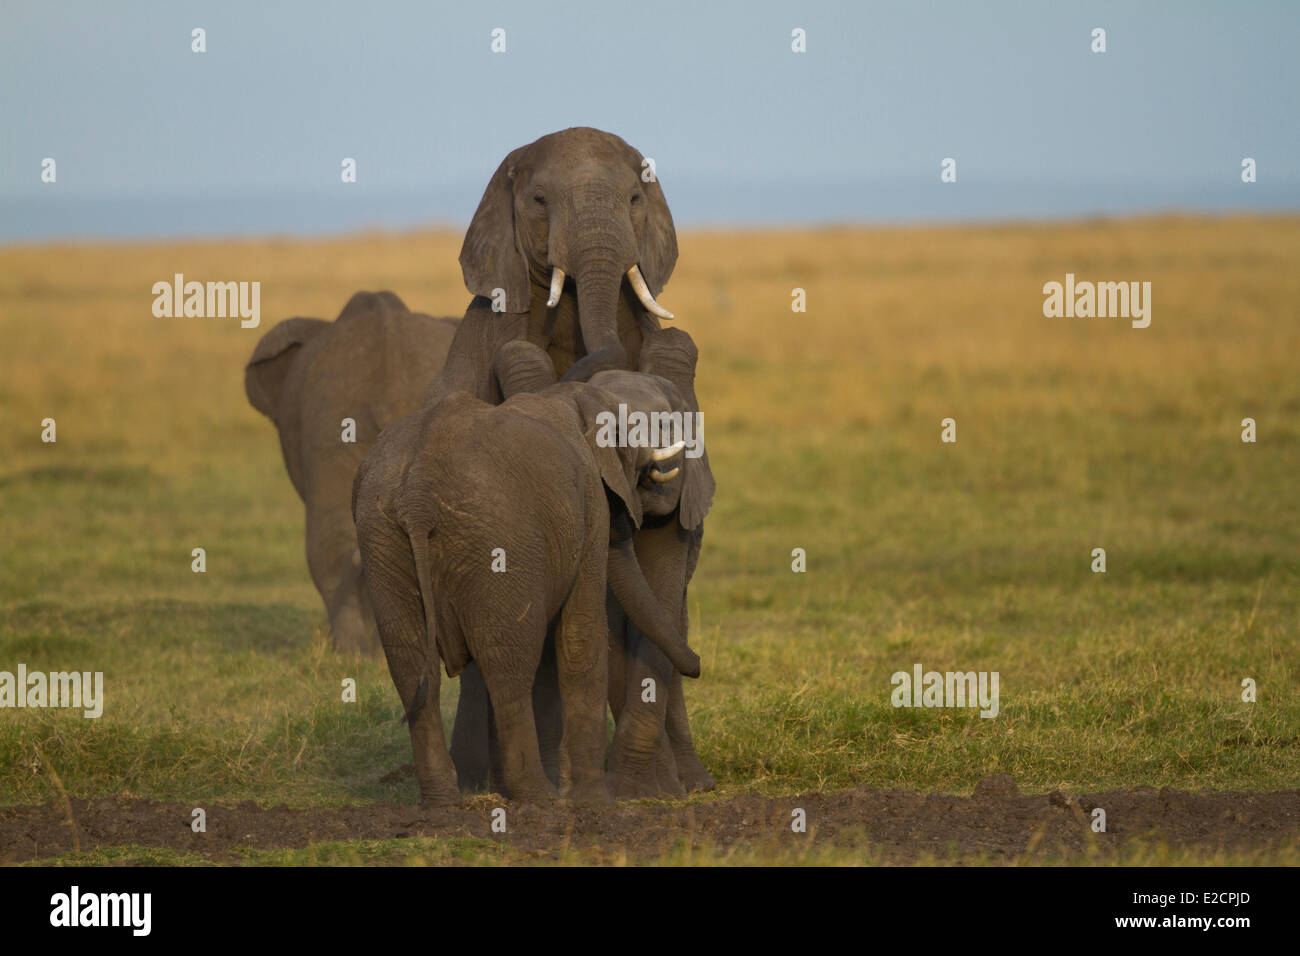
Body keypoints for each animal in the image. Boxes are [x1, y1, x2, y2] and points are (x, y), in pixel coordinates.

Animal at [351, 353, 703, 805]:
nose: (698, 667)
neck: (572, 396)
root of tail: (417, 493)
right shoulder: (589, 502)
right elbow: (581, 634)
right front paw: (593, 801)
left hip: (381, 536)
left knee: (410, 661)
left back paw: (443, 803)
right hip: (495, 539)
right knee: (508, 660)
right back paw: (539, 796)